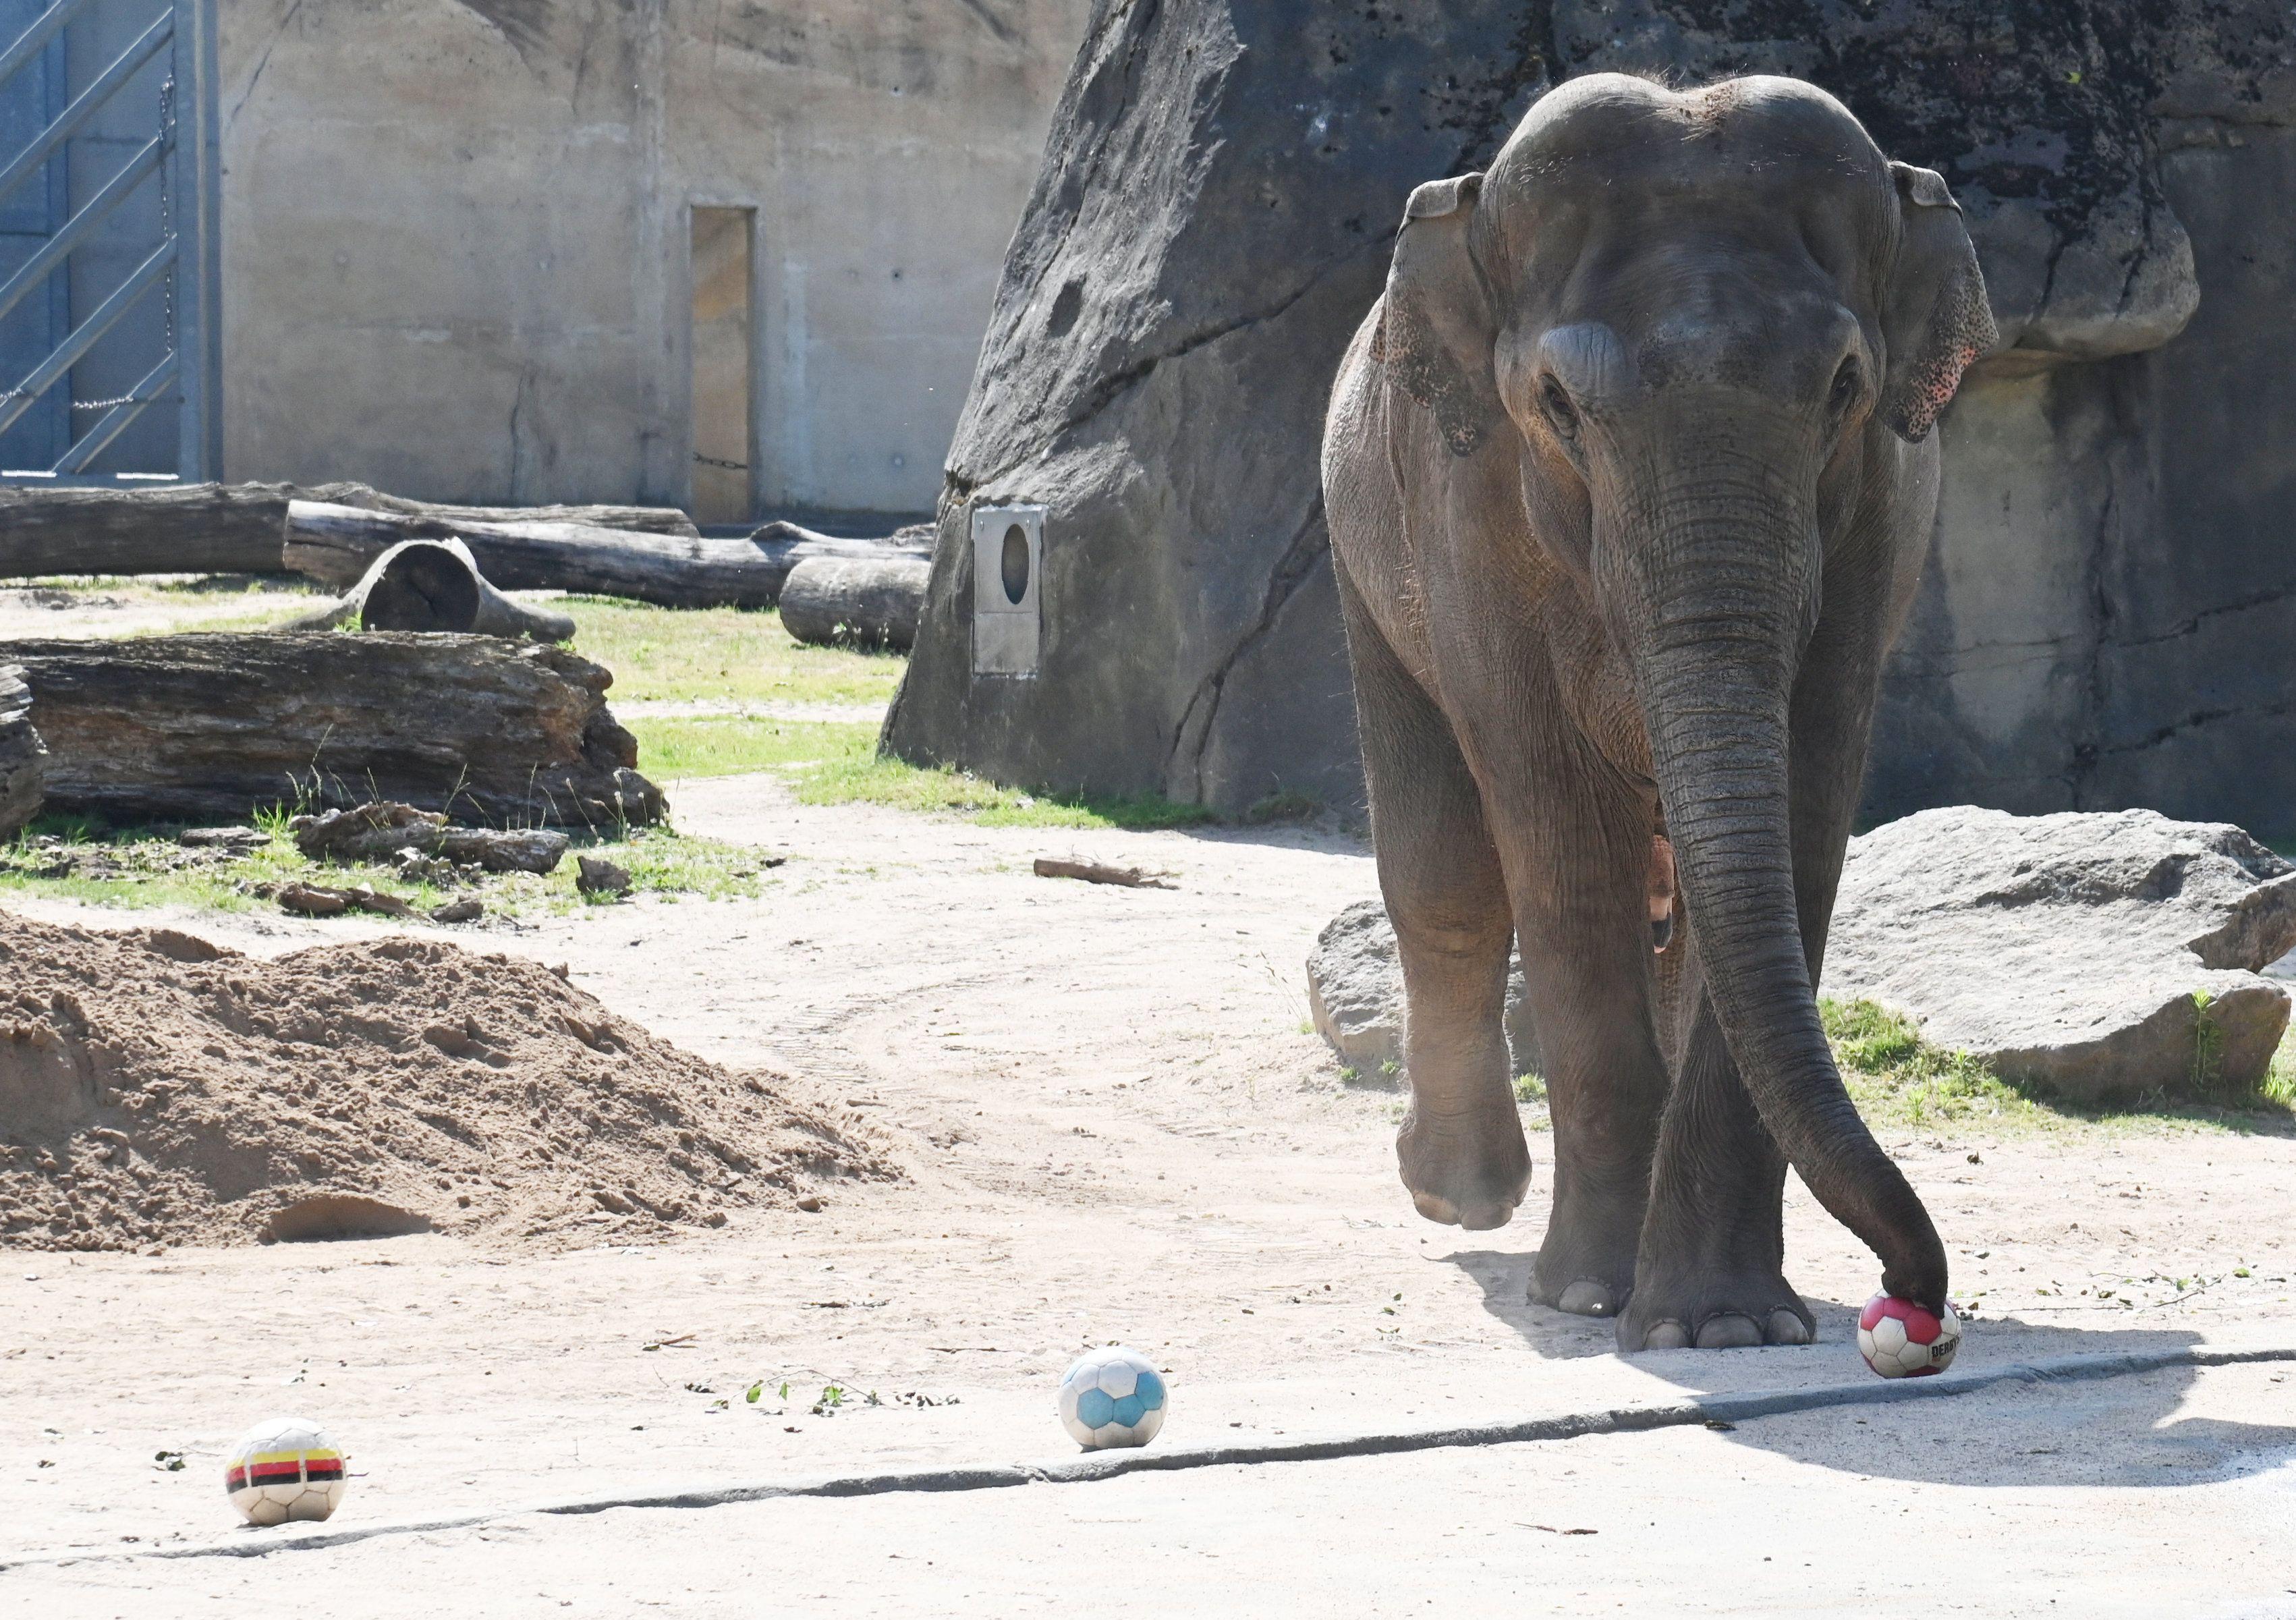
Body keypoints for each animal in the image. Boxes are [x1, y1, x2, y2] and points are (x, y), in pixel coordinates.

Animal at [1320, 73, 1995, 1352]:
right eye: (1556, 405)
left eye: (1843, 389)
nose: (1914, 1297)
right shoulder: (1467, 510)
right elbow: (1555, 837)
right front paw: (1587, 1296)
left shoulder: (1877, 522)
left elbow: (1799, 815)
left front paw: (1720, 1326)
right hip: (1361, 554)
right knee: (1443, 865)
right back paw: (1461, 1195)